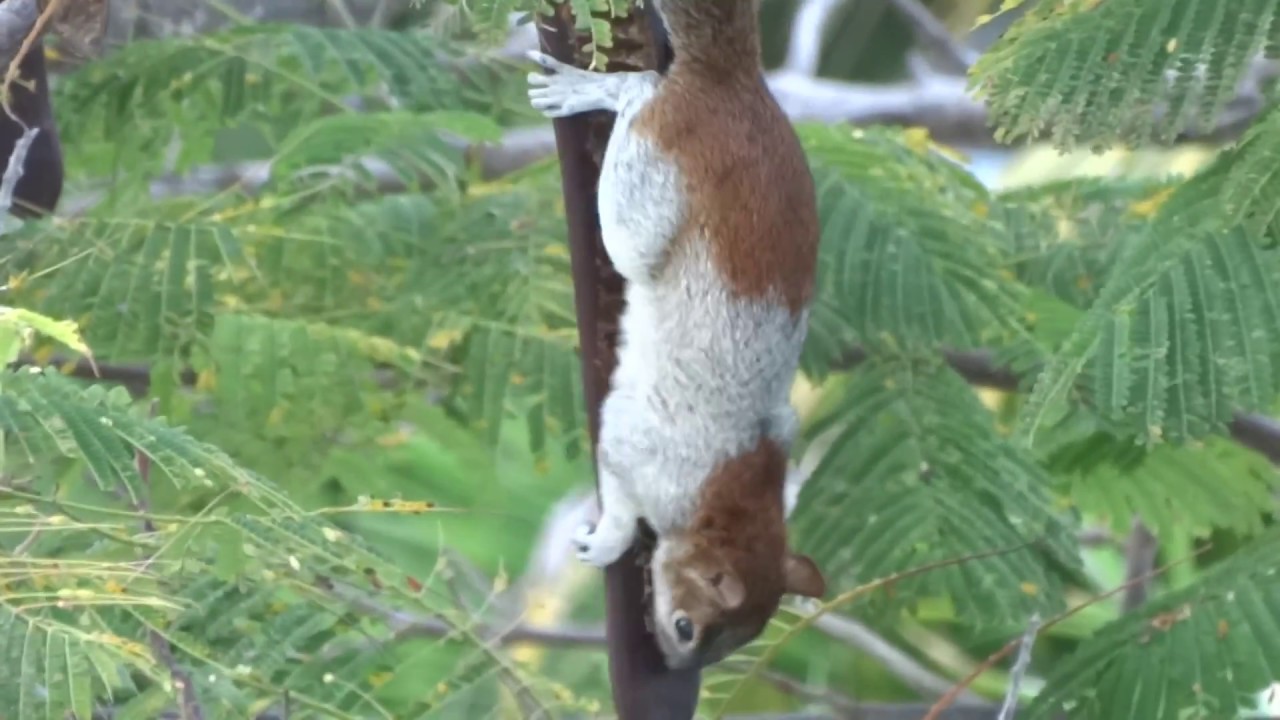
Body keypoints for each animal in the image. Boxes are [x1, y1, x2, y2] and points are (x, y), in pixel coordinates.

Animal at [527, 0, 826, 670]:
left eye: (736, 643)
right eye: (689, 627)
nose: (673, 665)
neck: (735, 494)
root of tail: (730, 84)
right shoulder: (637, 443)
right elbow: (618, 491)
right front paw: (609, 541)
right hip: (650, 180)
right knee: (641, 97)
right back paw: (601, 88)